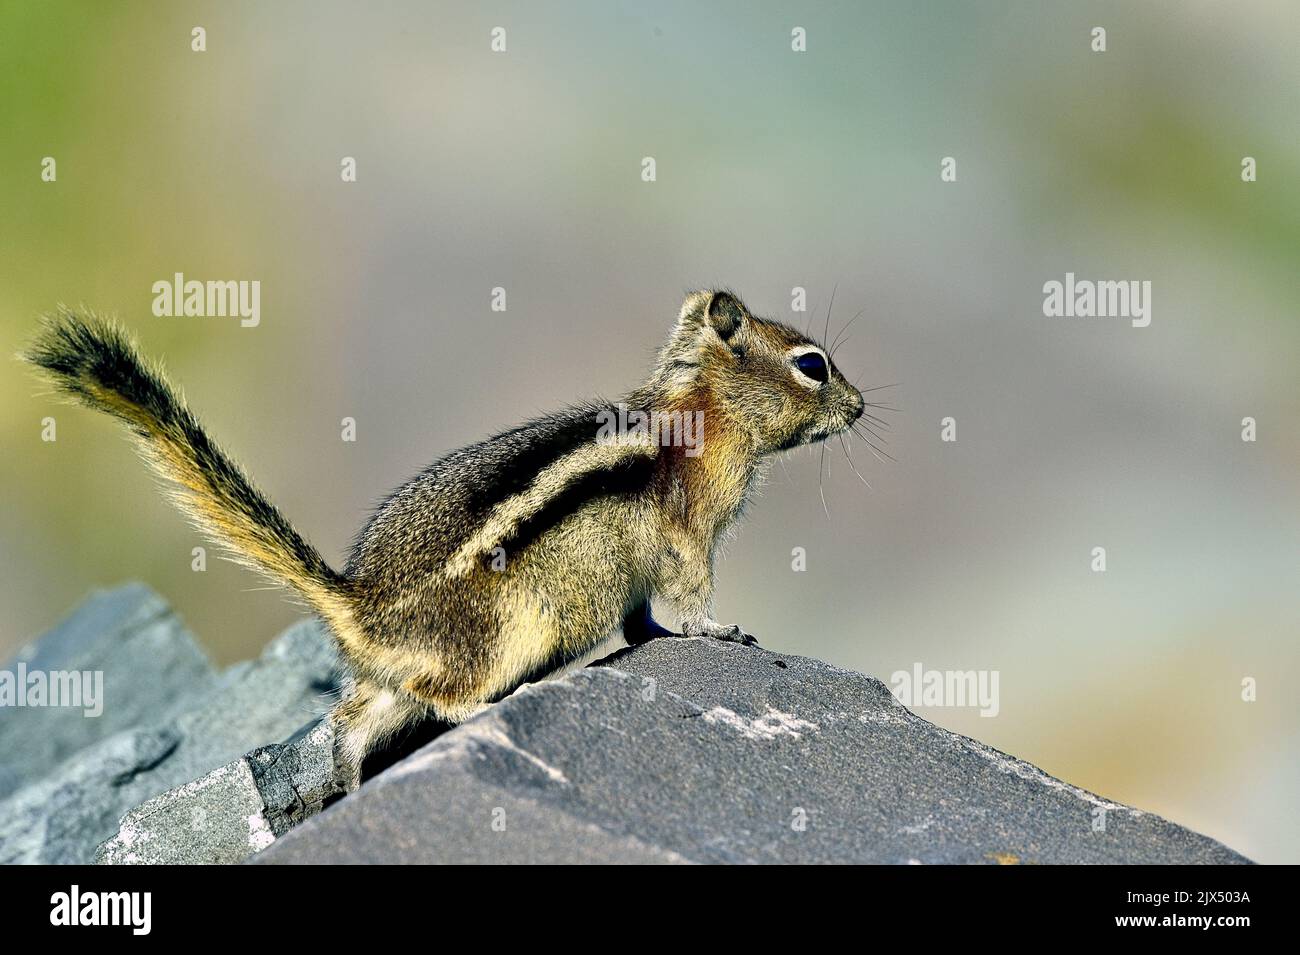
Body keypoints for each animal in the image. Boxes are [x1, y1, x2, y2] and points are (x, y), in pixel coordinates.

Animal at [23, 290, 867, 789]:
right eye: (812, 364)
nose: (860, 405)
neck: (700, 414)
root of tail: (358, 603)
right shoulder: (689, 535)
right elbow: (689, 598)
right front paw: (723, 630)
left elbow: (640, 618)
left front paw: (659, 633)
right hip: (500, 634)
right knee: (447, 700)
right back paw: (509, 699)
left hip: (383, 681)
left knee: (350, 724)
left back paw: (345, 779)